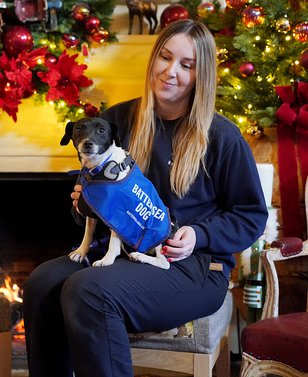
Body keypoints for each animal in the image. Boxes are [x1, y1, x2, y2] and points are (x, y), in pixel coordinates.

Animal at [59, 117, 172, 268]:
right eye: (79, 129)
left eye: (101, 130)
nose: (87, 143)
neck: (99, 167)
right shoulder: (92, 210)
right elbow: (88, 234)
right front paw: (81, 252)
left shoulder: (118, 213)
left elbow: (113, 242)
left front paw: (107, 260)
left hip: (160, 233)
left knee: (164, 262)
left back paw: (140, 257)